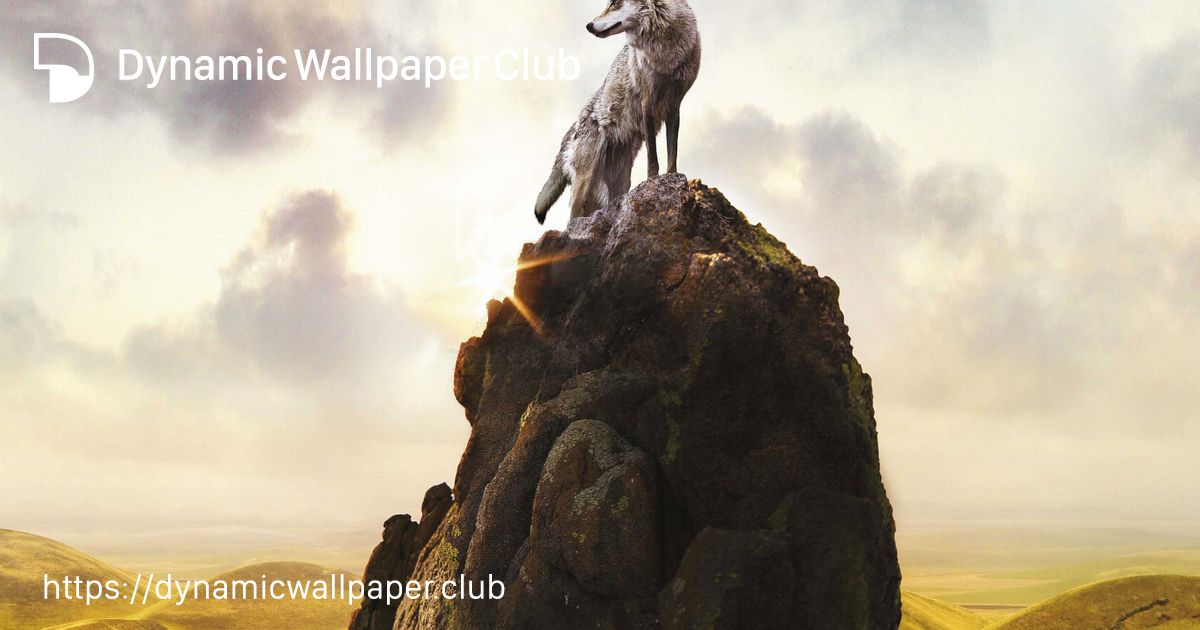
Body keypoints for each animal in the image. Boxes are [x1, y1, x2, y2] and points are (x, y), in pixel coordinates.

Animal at [534, 0, 701, 224]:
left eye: (615, 4)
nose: (589, 26)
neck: (665, 50)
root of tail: (573, 129)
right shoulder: (647, 101)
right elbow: (653, 158)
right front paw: (653, 182)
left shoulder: (674, 105)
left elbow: (671, 153)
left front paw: (672, 180)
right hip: (585, 183)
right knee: (571, 219)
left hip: (618, 184)